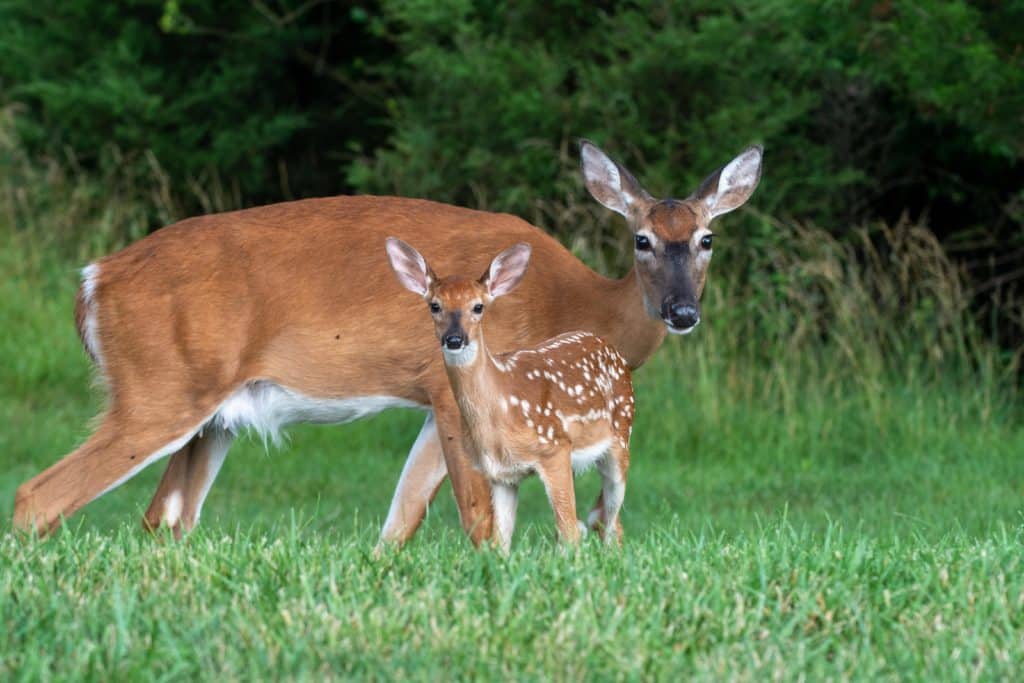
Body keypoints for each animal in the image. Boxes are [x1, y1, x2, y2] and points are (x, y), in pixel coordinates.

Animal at [386, 238, 634, 550]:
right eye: (435, 306)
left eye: (478, 307)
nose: (454, 339)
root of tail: (612, 350)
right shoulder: (501, 474)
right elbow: (499, 543)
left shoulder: (554, 448)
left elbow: (569, 533)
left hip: (621, 437)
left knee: (609, 522)